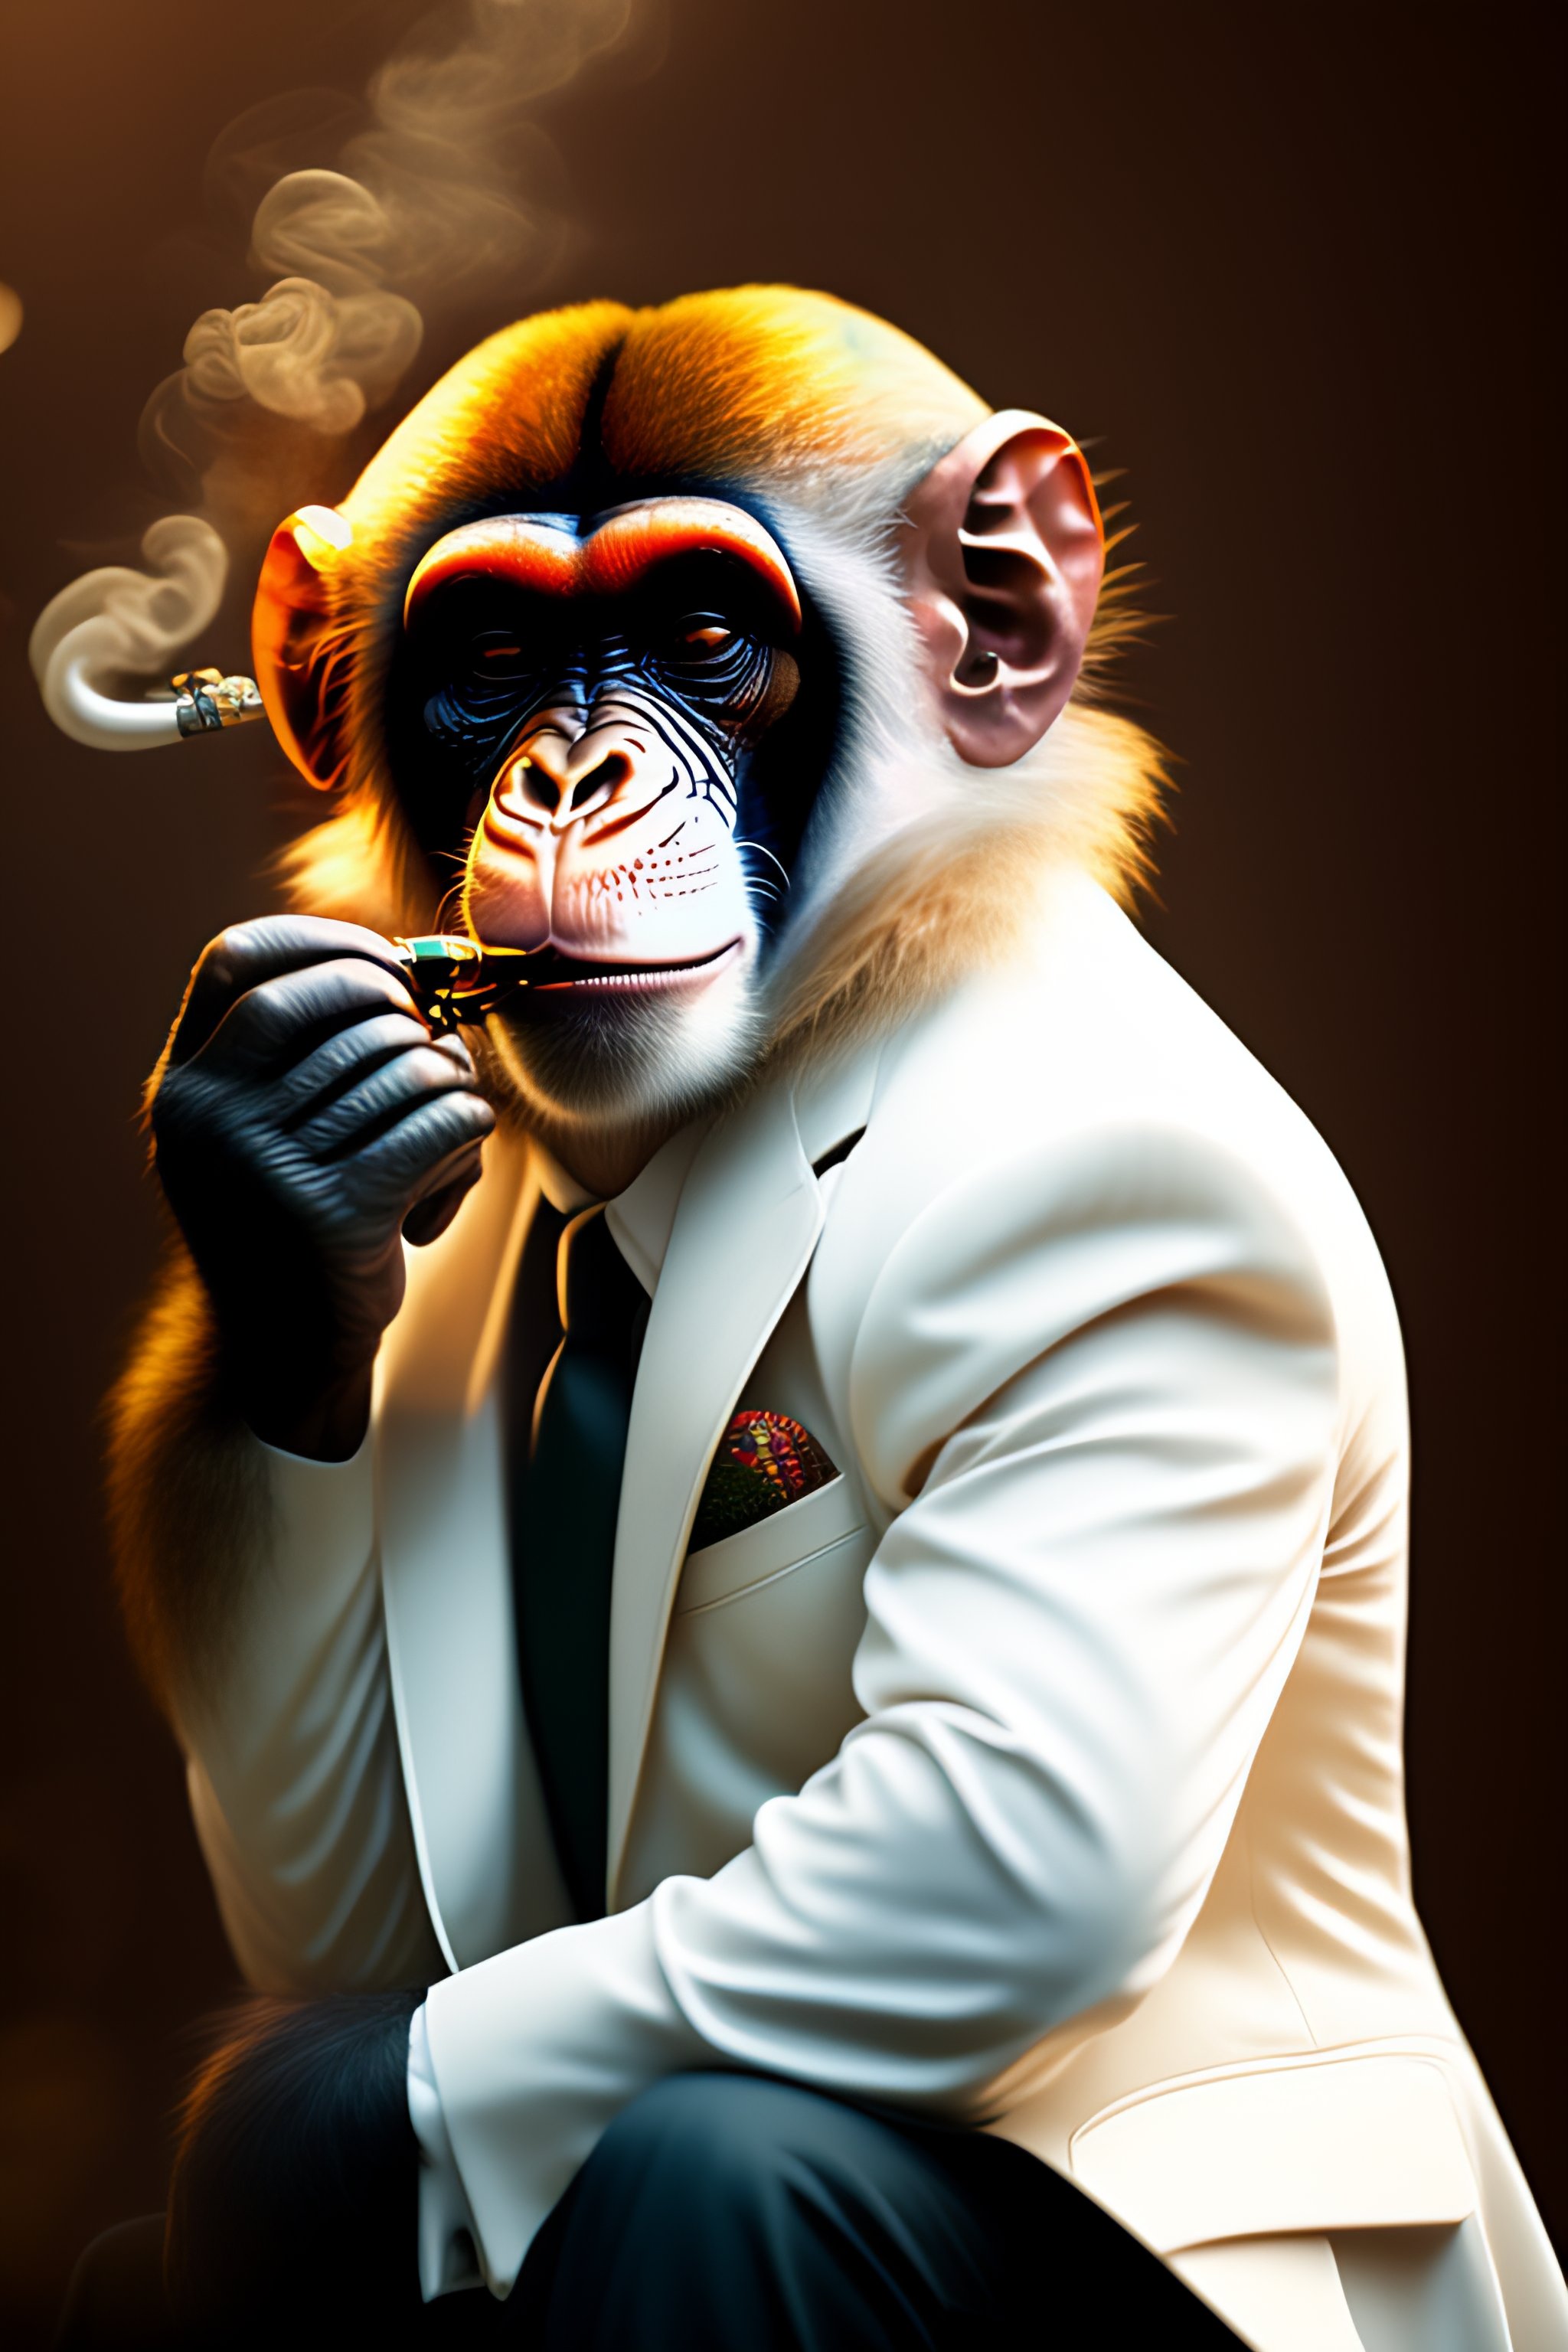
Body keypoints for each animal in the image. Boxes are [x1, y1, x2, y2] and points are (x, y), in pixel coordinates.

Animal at [72, 289, 1560, 2350]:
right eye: (492, 659)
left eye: (710, 639)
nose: (567, 777)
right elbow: (339, 1903)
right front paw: (278, 1171)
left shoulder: (1123, 1244)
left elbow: (998, 1829)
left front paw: (294, 2134)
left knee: (748, 2139)